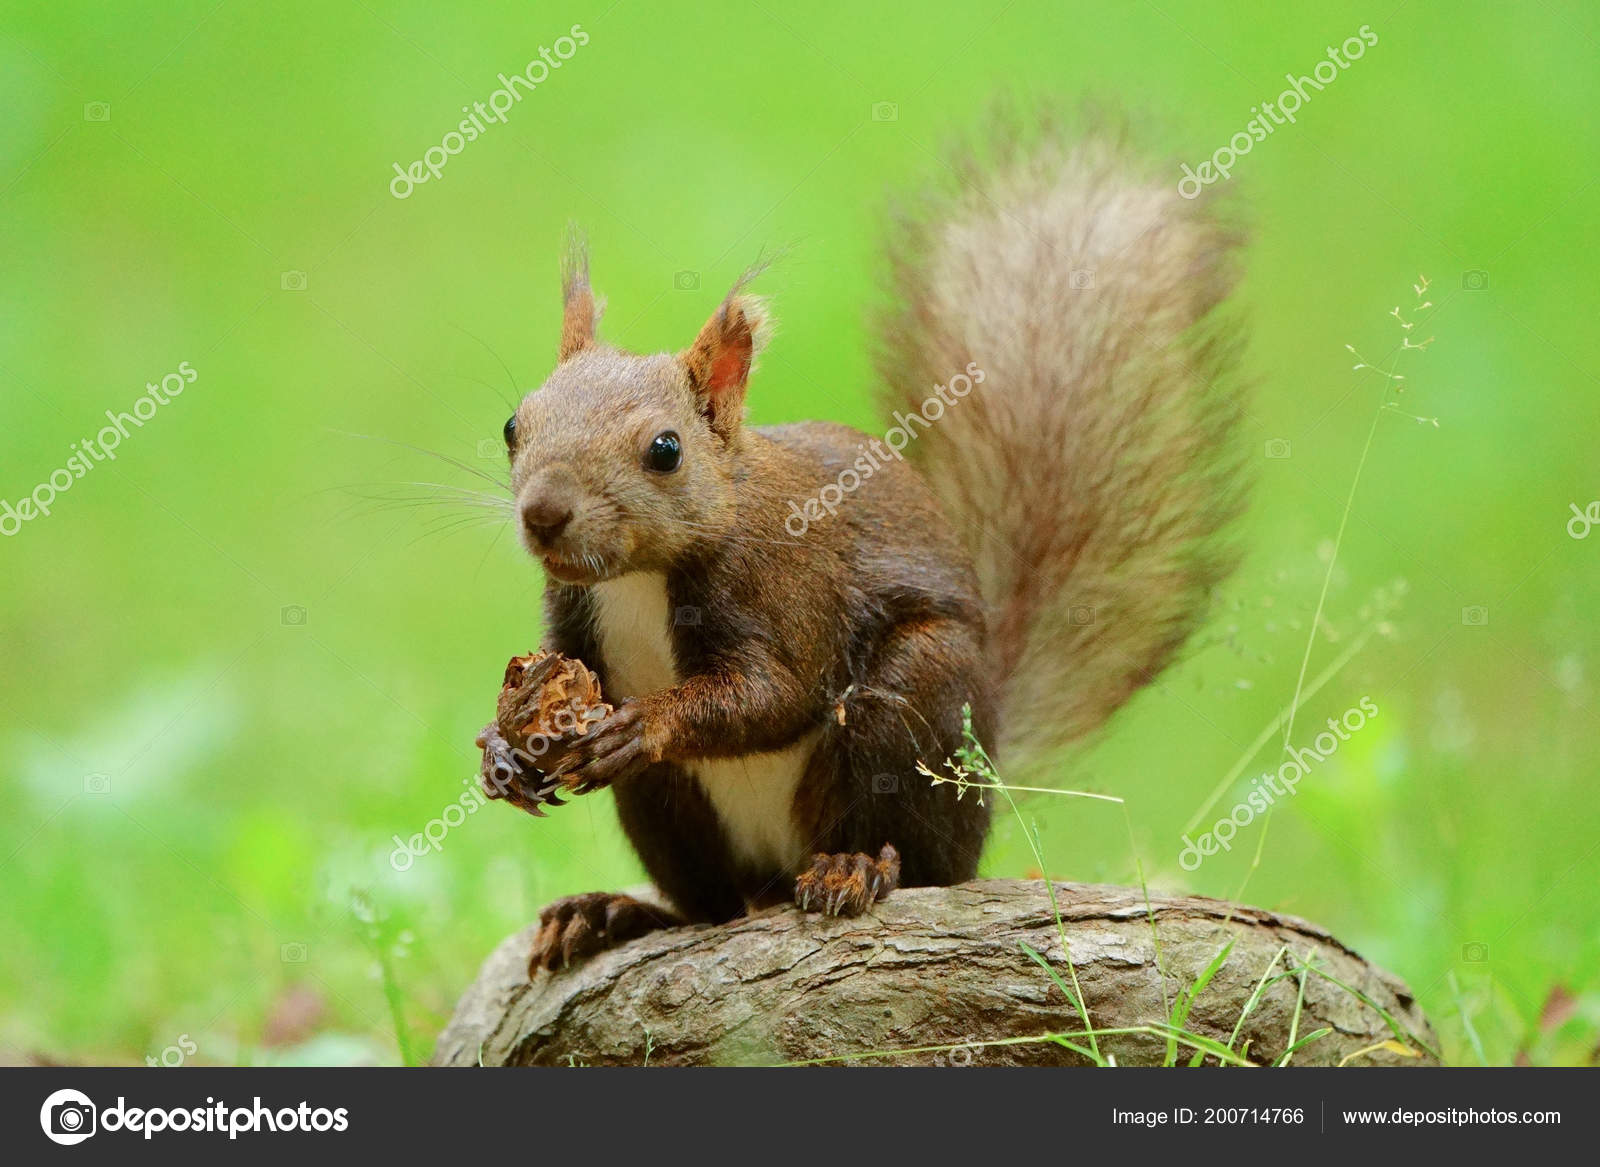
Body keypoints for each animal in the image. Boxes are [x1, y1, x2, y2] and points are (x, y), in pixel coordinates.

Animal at [490, 115, 1247, 972]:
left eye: (665, 449)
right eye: (513, 425)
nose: (543, 514)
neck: (638, 579)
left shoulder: (786, 587)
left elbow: (773, 694)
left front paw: (645, 721)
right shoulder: (573, 610)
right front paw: (499, 750)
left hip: (916, 699)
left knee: (917, 860)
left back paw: (853, 867)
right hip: (666, 804)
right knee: (708, 906)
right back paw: (611, 913)